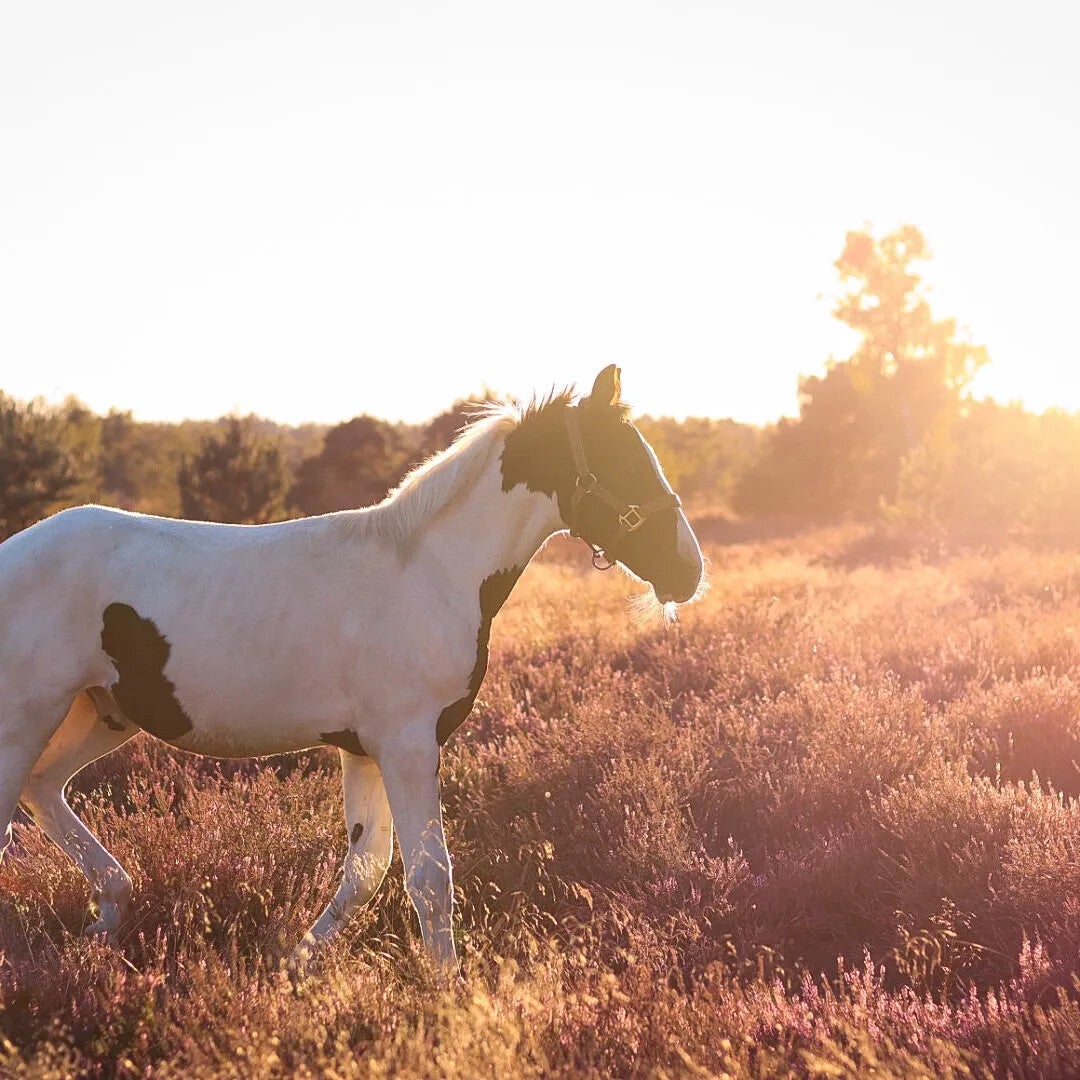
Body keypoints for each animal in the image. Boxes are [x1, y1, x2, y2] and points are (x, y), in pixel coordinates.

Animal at [0, 365, 704, 970]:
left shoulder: (364, 750)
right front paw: (448, 993)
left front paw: (295, 965)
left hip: (99, 716)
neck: (427, 572)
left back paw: (107, 916)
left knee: (44, 789)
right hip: (28, 720)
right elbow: (429, 874)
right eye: (623, 460)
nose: (689, 571)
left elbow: (367, 870)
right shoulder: (407, 744)